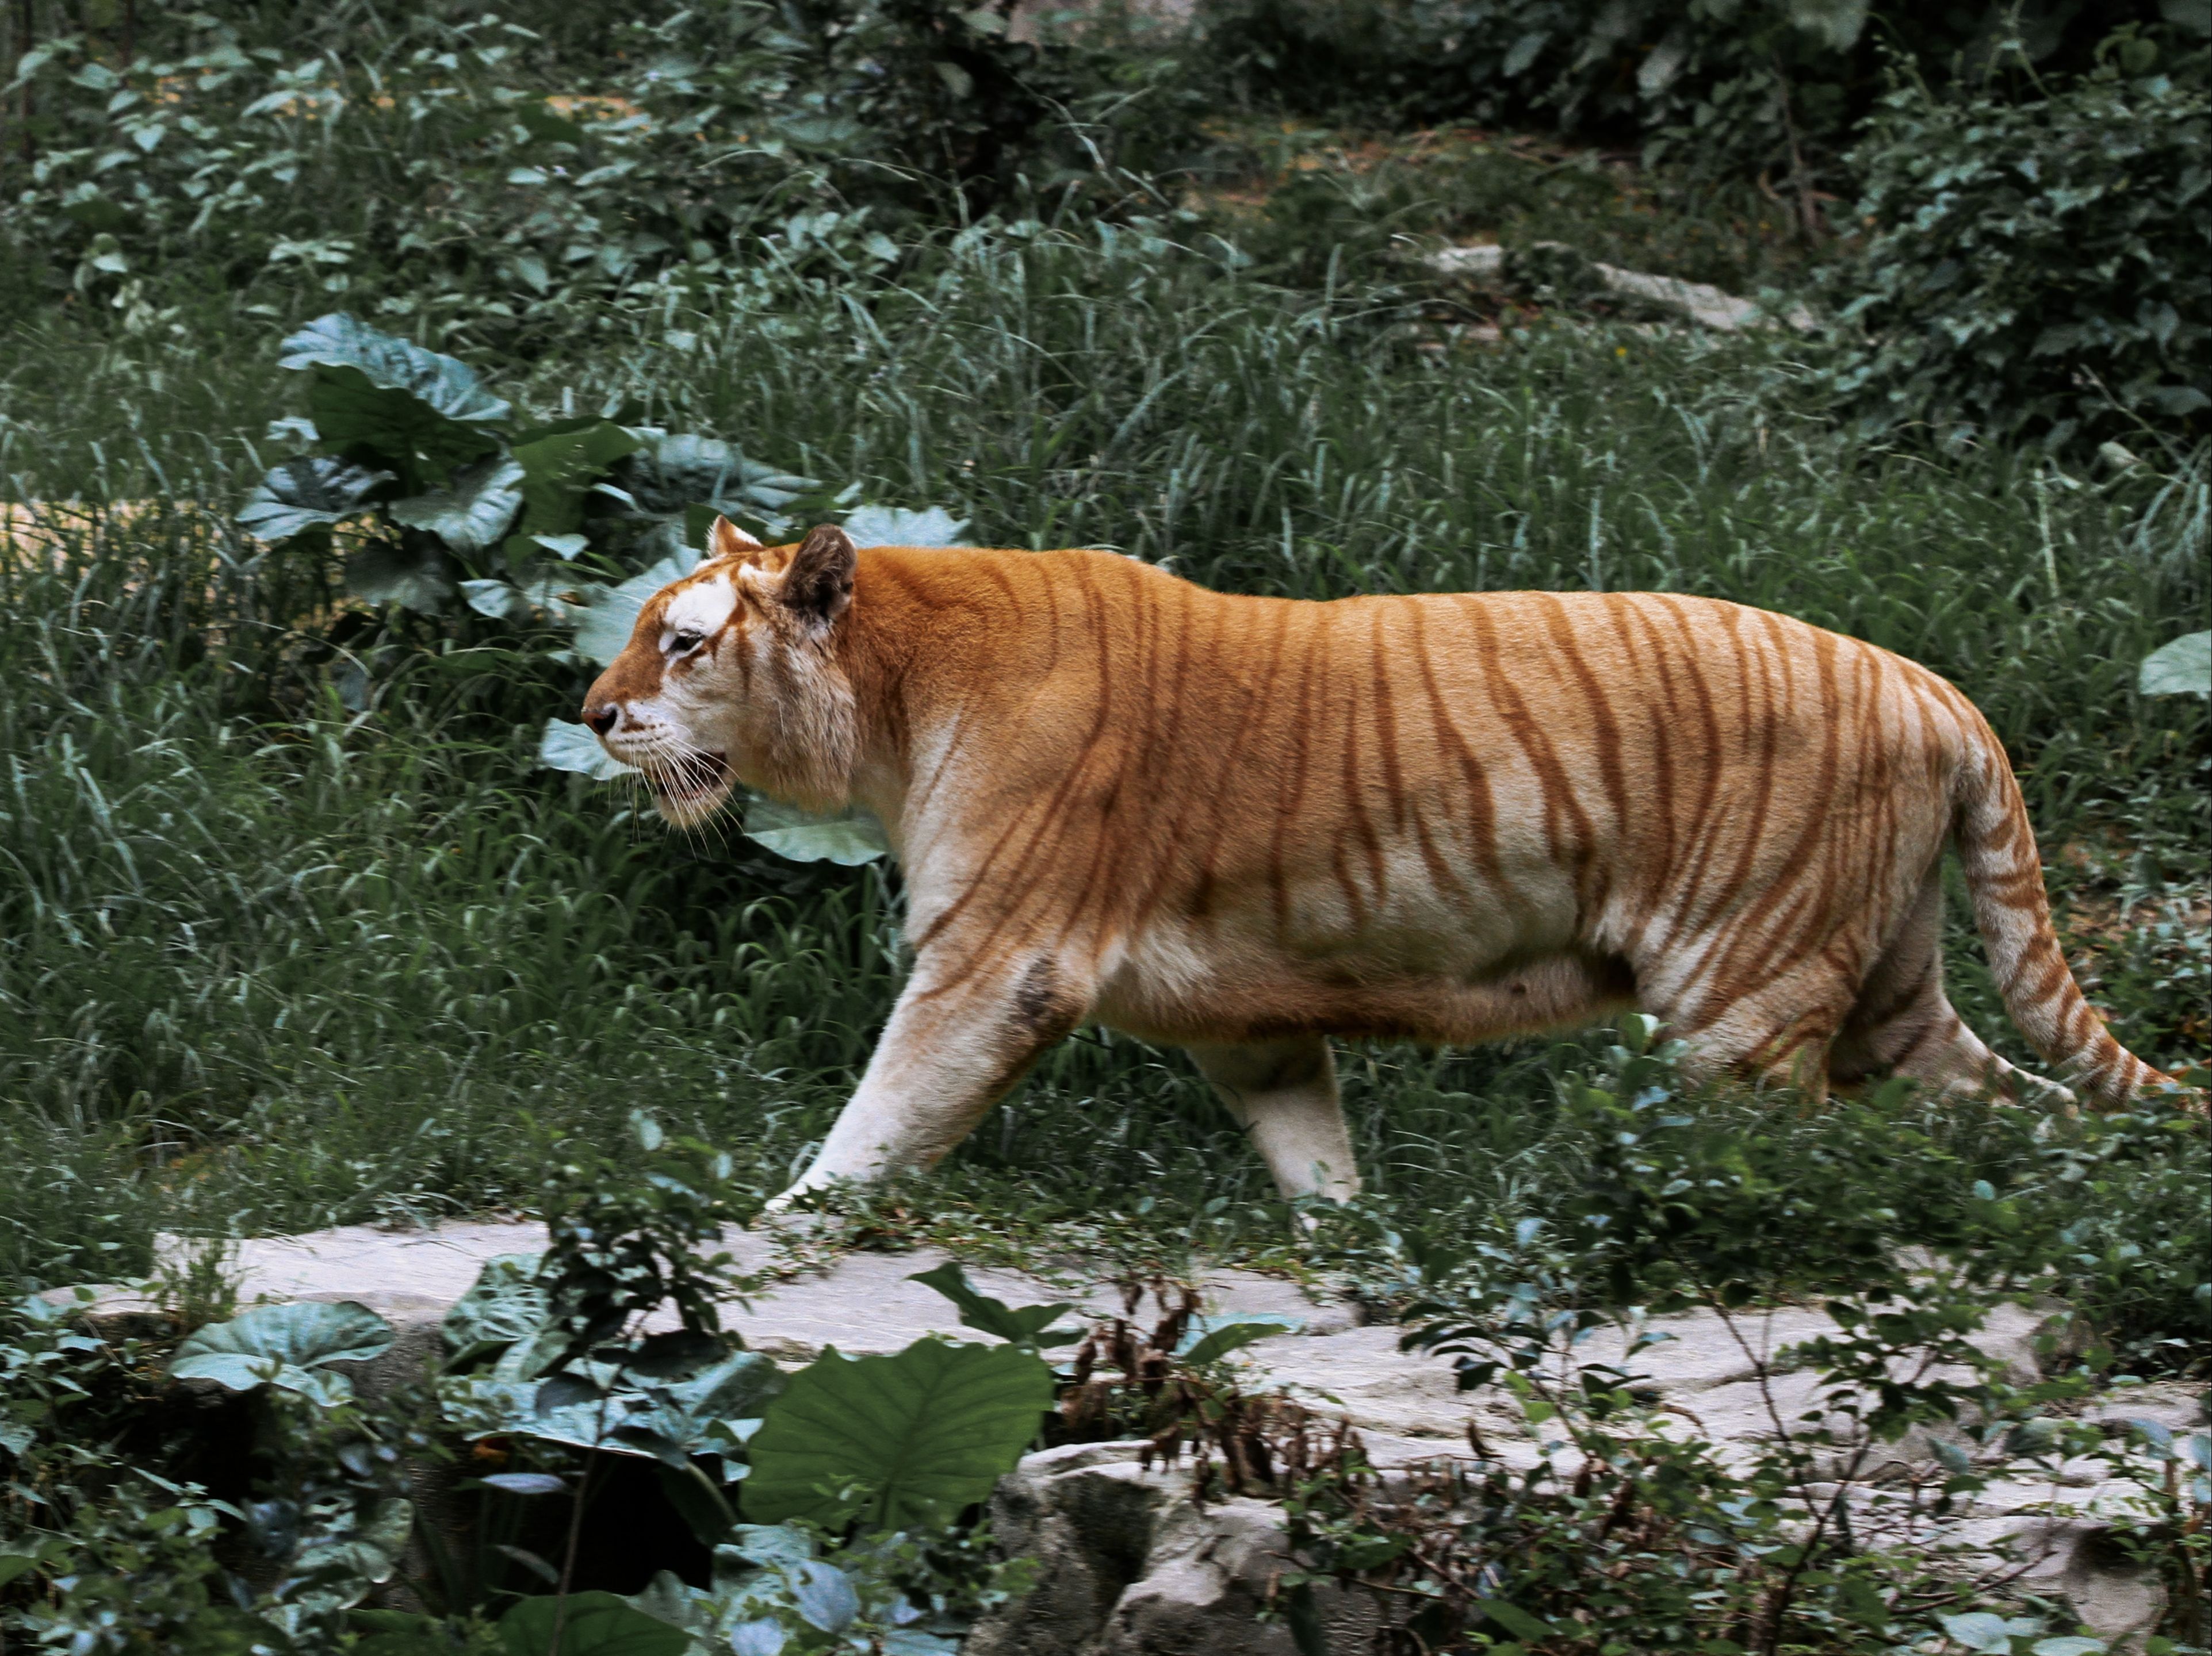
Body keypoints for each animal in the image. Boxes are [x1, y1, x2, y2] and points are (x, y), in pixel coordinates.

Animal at [580, 515, 2170, 1205]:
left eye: (682, 642)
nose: (590, 713)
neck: (892, 712)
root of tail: (1933, 685)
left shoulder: (994, 961)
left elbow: (878, 1120)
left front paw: (778, 1229)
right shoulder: (1249, 1024)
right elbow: (1317, 1165)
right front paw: (1361, 1256)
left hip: (1742, 1000)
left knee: (1789, 1158)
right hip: (1891, 996)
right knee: (2011, 1110)